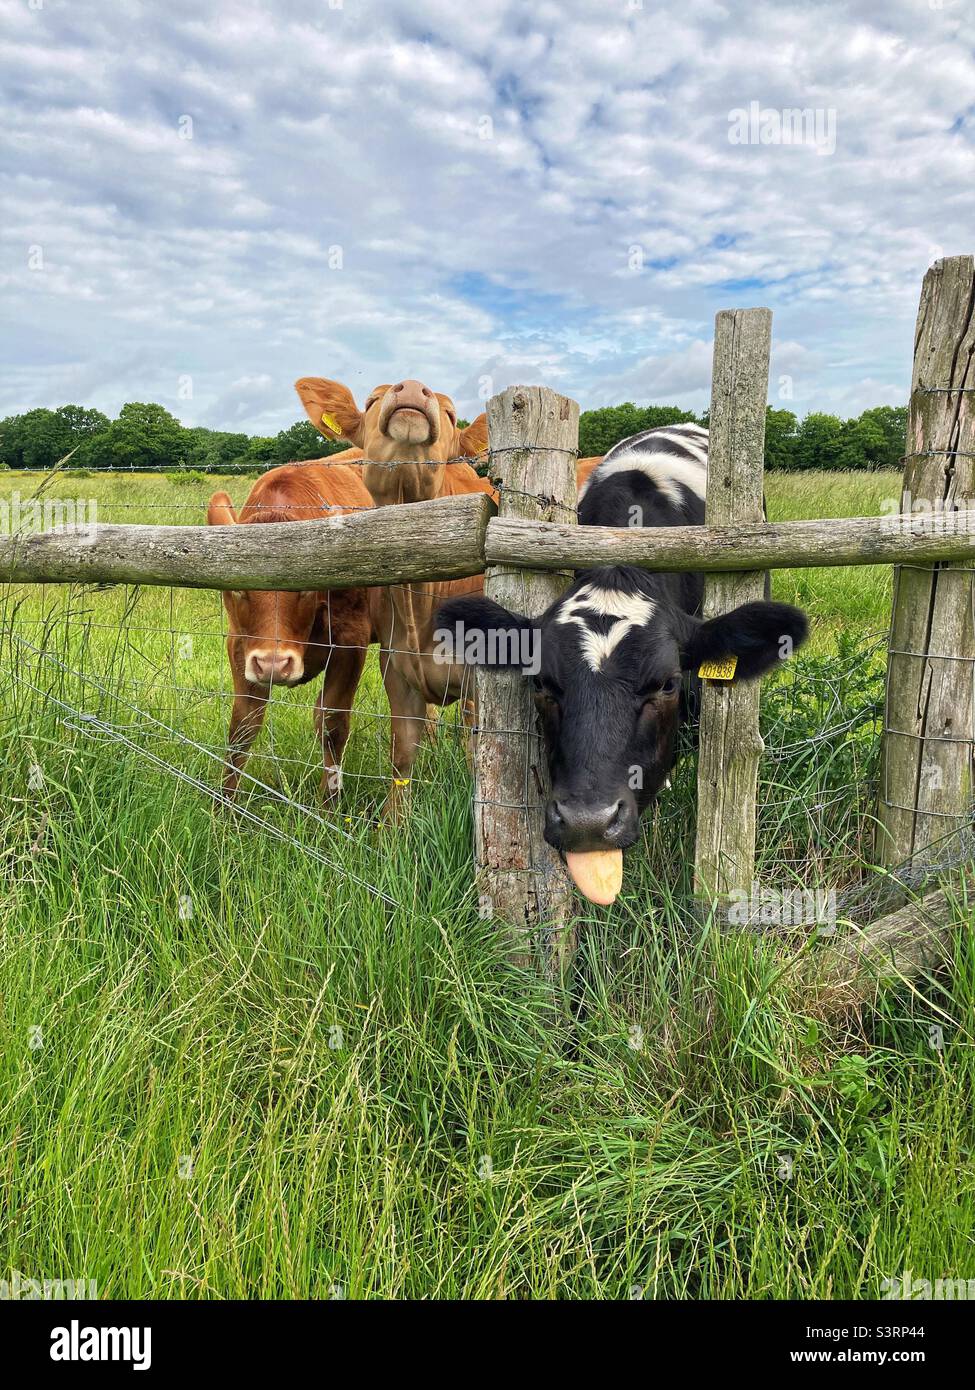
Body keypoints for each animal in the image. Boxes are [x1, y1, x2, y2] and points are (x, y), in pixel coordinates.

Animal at [207, 456, 373, 800]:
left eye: (306, 586)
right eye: (238, 587)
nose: (274, 664)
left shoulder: (352, 642)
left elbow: (332, 726)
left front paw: (328, 807)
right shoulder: (240, 645)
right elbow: (243, 726)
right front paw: (223, 809)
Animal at [294, 376, 493, 815]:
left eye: (451, 413)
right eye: (370, 401)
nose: (413, 388)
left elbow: (487, 757)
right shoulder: (397, 668)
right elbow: (402, 753)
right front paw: (393, 825)